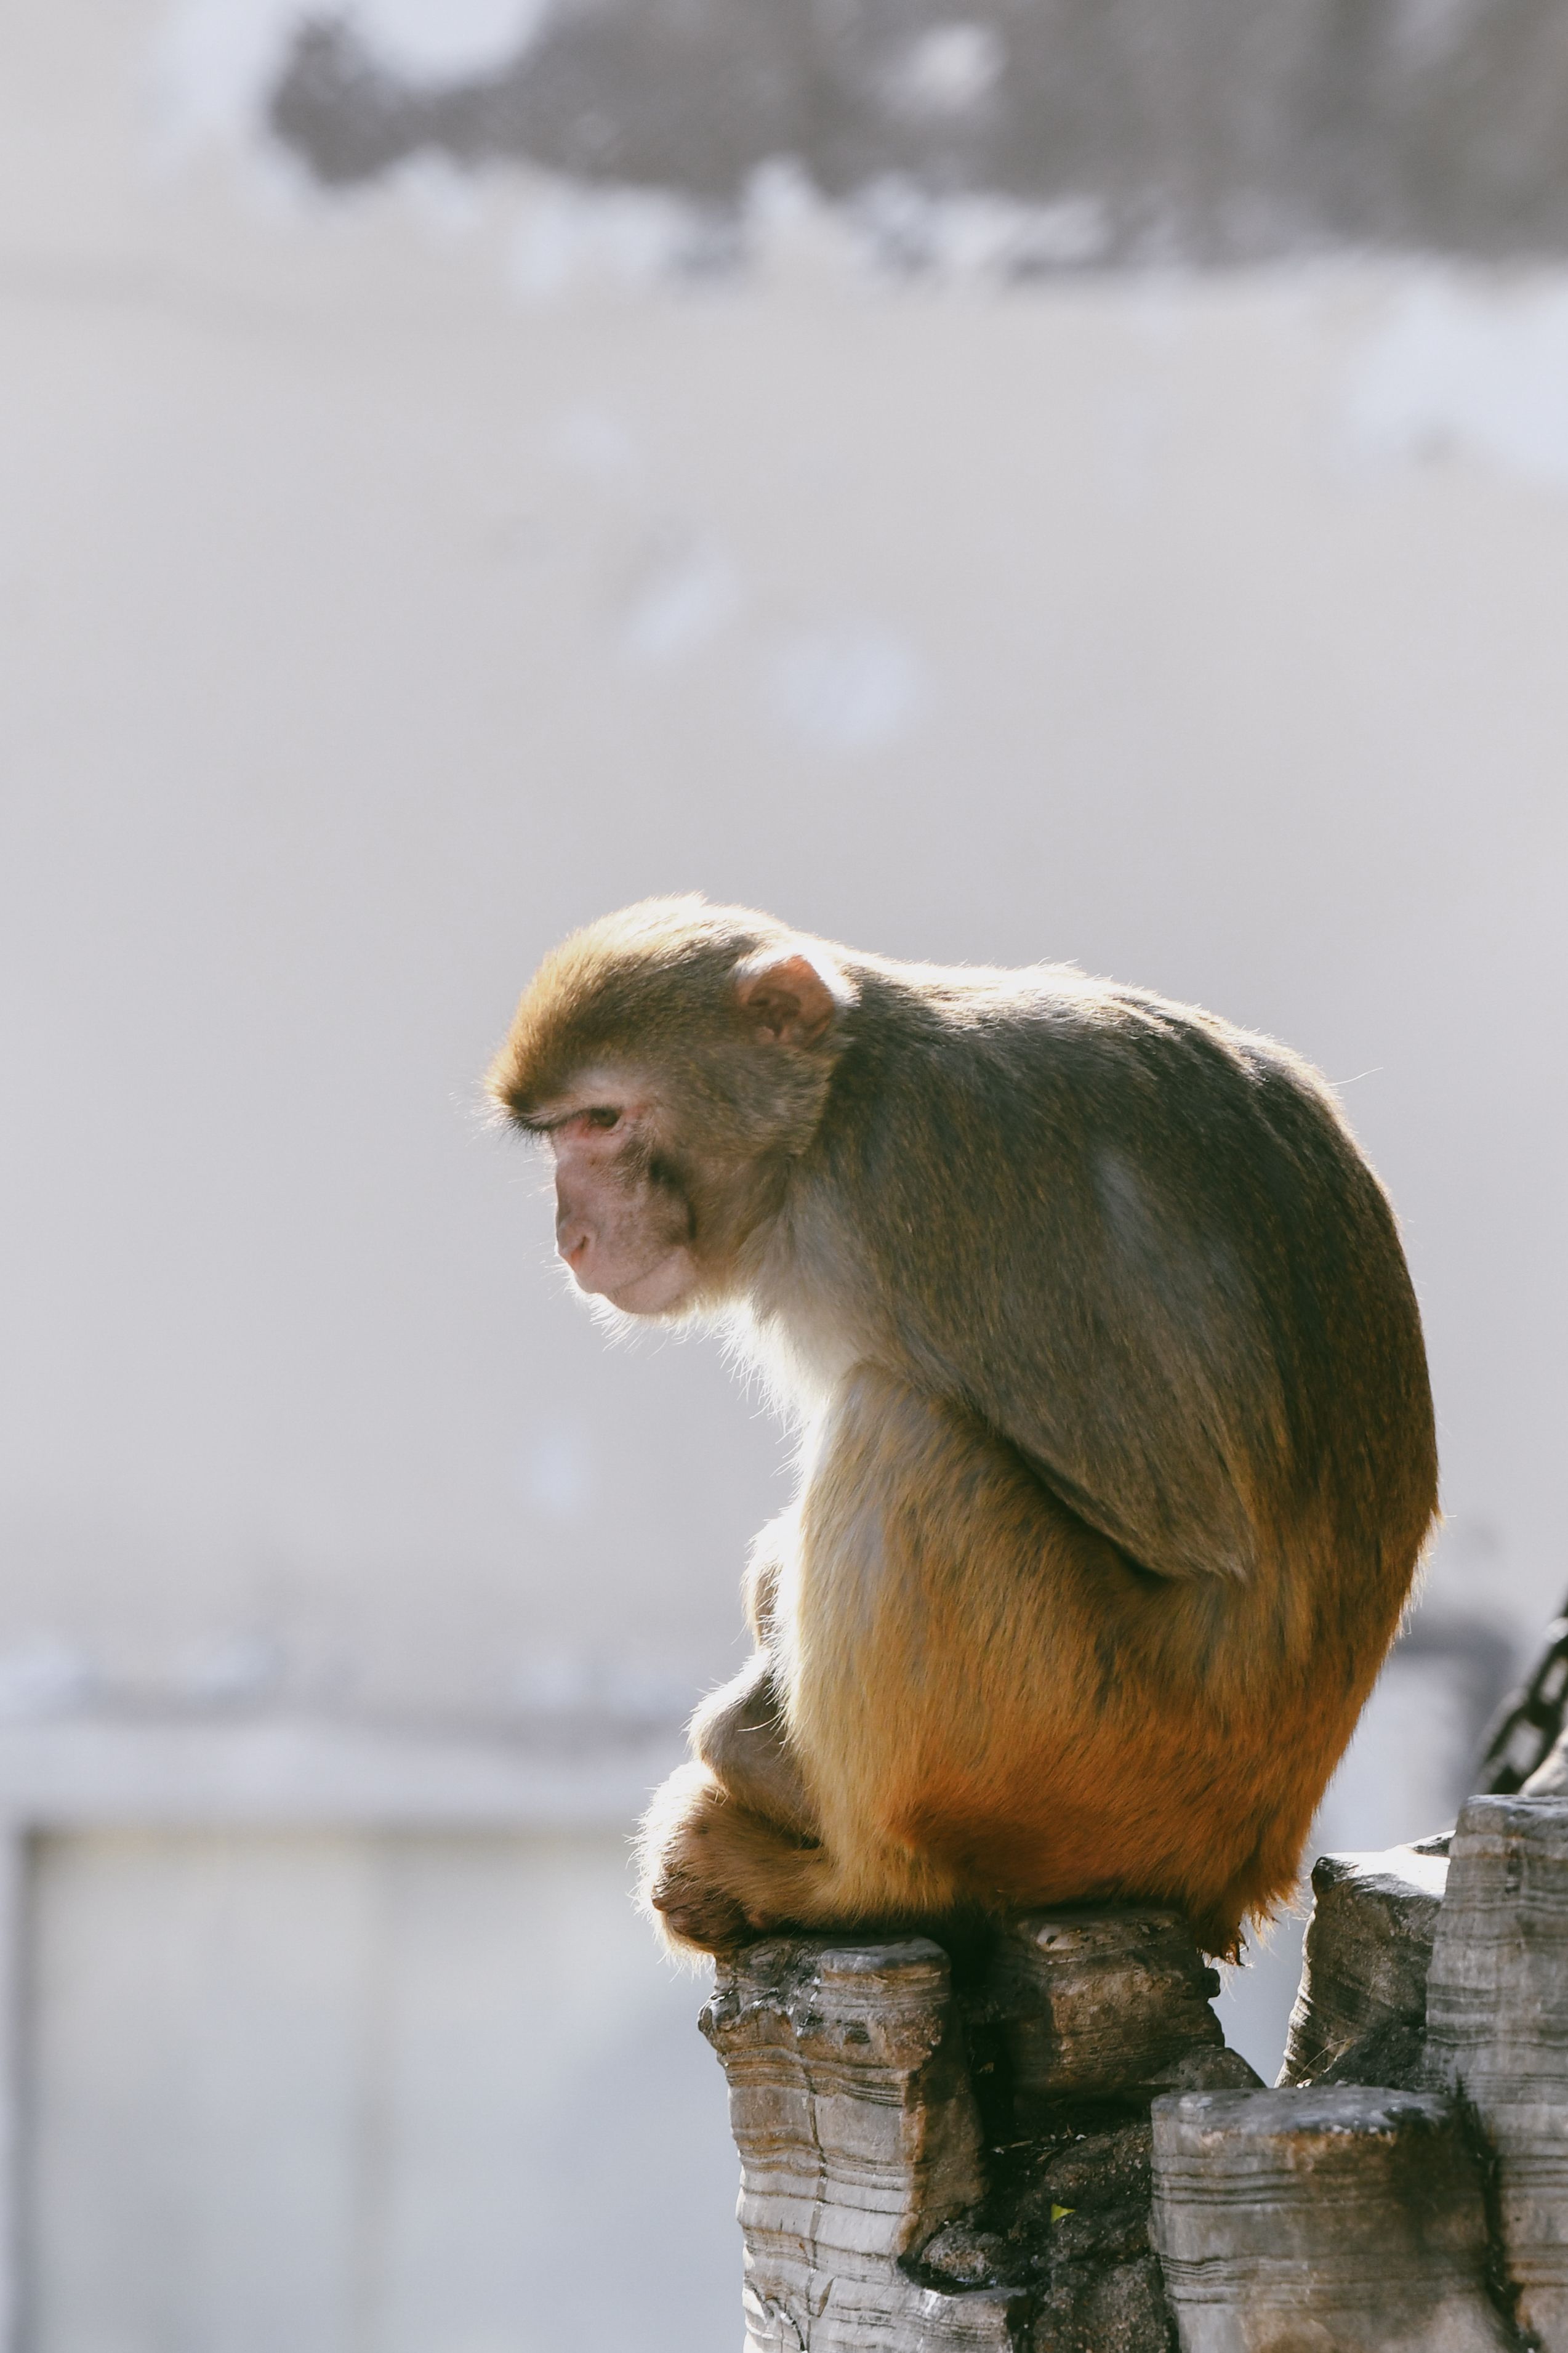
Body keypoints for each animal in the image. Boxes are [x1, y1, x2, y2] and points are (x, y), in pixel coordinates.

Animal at [486, 896, 1438, 1961]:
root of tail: (1242, 1867)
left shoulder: (919, 1186)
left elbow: (1184, 1529)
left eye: (602, 1121)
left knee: (897, 1428)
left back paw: (850, 1882)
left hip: (1088, 1757)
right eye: (559, 1134)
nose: (570, 1235)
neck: (830, 1120)